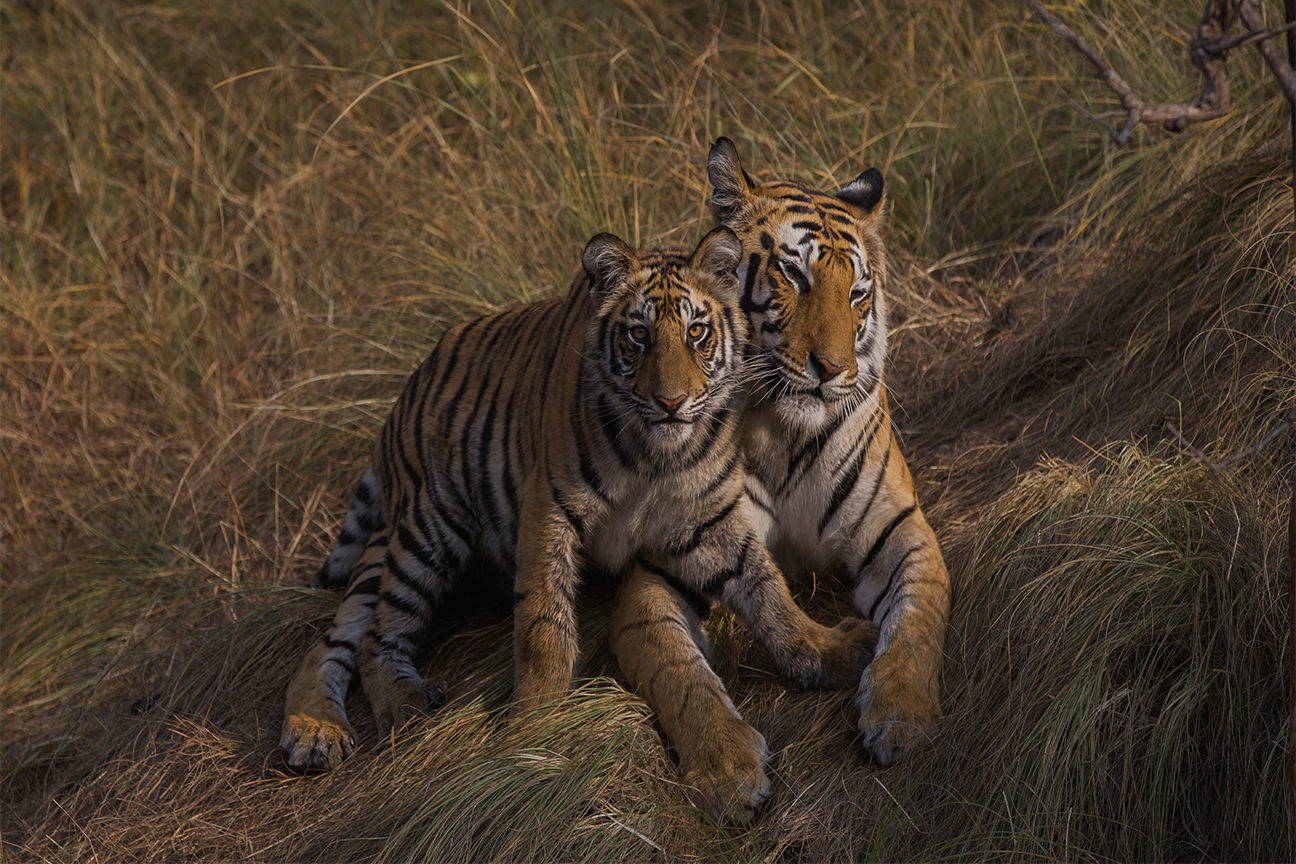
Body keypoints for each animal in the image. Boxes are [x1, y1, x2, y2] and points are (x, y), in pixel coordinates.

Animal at [279, 226, 879, 786]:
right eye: (638, 335)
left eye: (696, 332)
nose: (671, 401)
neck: (655, 455)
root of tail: (408, 386)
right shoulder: (549, 511)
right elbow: (543, 628)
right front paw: (534, 728)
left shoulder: (707, 519)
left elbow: (767, 590)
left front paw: (829, 650)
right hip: (430, 523)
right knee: (368, 637)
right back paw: (381, 712)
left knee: (331, 640)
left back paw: (319, 732)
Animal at [610, 138, 950, 814]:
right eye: (795, 276)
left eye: (857, 294)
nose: (834, 369)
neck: (779, 430)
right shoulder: (658, 565)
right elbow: (676, 668)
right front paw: (725, 768)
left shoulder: (899, 528)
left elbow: (919, 618)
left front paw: (901, 714)